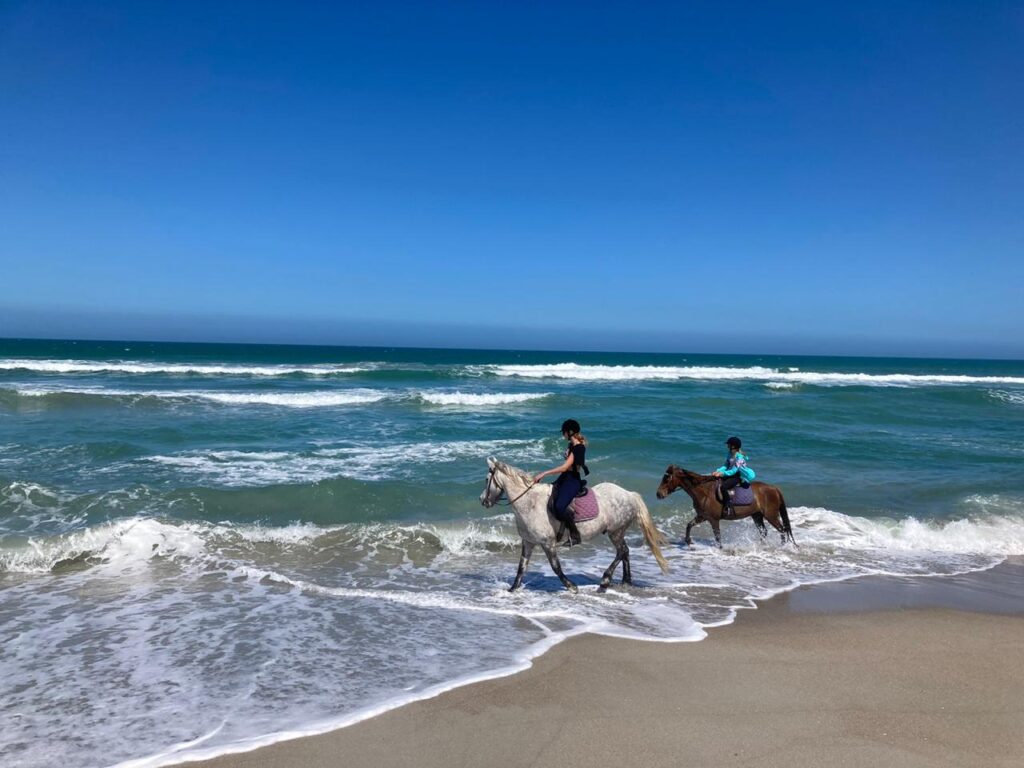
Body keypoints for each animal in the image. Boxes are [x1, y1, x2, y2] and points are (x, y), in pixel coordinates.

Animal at [480, 458, 669, 593]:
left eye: (486, 479)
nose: (483, 500)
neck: (529, 503)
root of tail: (629, 494)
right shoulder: (528, 542)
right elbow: (521, 568)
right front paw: (512, 589)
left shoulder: (548, 543)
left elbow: (555, 567)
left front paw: (571, 586)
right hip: (618, 532)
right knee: (625, 552)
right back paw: (625, 581)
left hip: (615, 531)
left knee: (622, 552)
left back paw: (605, 581)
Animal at [655, 465, 796, 547]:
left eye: (667, 478)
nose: (658, 494)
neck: (704, 492)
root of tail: (774, 489)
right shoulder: (702, 516)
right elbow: (689, 525)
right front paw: (688, 541)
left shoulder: (713, 519)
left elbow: (718, 537)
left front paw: (720, 549)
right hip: (757, 515)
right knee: (764, 531)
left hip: (770, 515)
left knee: (782, 530)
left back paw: (781, 547)